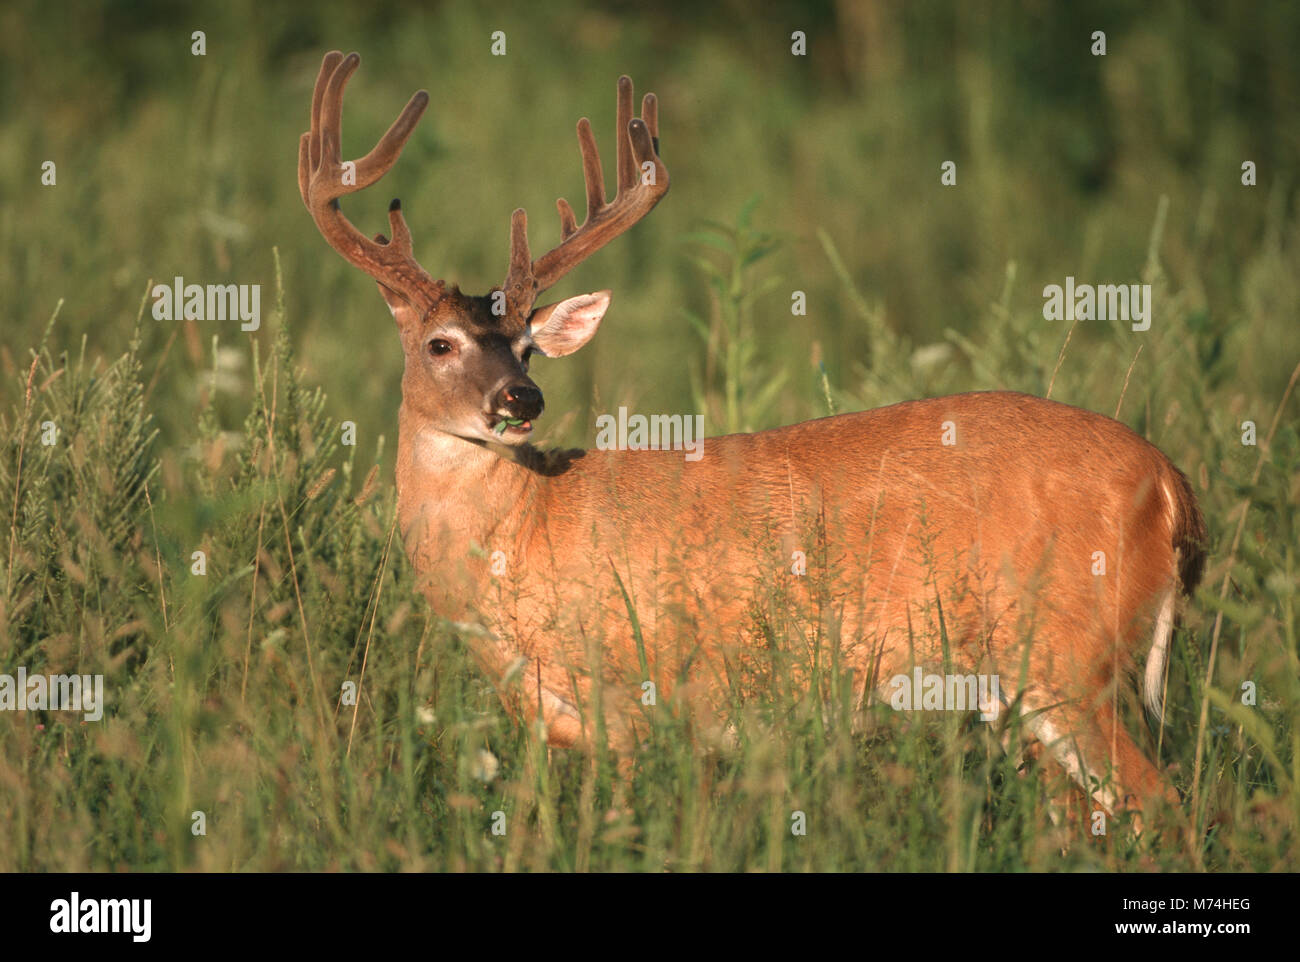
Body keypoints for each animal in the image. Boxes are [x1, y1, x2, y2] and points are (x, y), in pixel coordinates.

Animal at [299, 50, 1206, 827]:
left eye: (527, 346)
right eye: (439, 343)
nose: (523, 397)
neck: (527, 531)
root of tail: (1171, 483)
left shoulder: (641, 698)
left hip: (1064, 653)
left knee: (1163, 804)